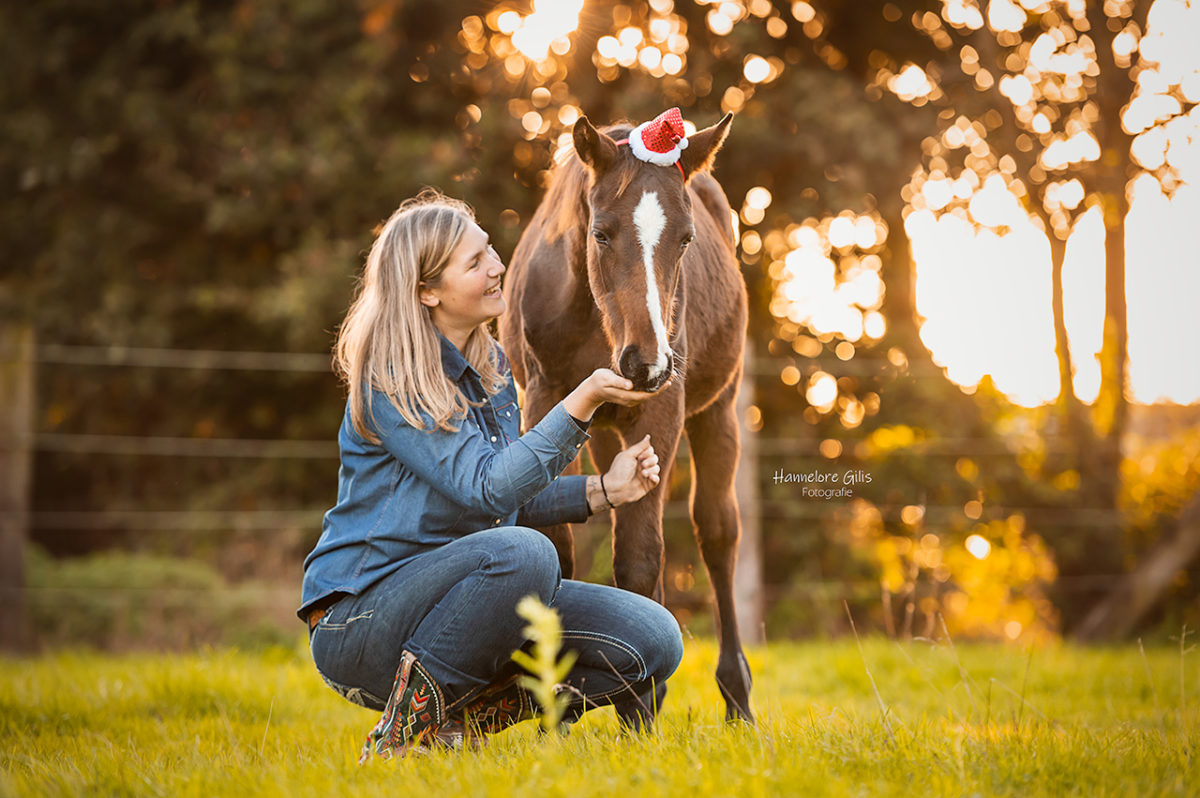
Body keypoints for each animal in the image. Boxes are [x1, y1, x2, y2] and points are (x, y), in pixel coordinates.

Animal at [499, 111, 753, 724]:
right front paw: (556, 712)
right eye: (601, 233)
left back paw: (734, 700)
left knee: (717, 534)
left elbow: (640, 558)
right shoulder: (544, 402)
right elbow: (559, 548)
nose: (646, 362)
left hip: (718, 411)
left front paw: (639, 719)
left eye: (686, 239)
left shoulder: (660, 409)